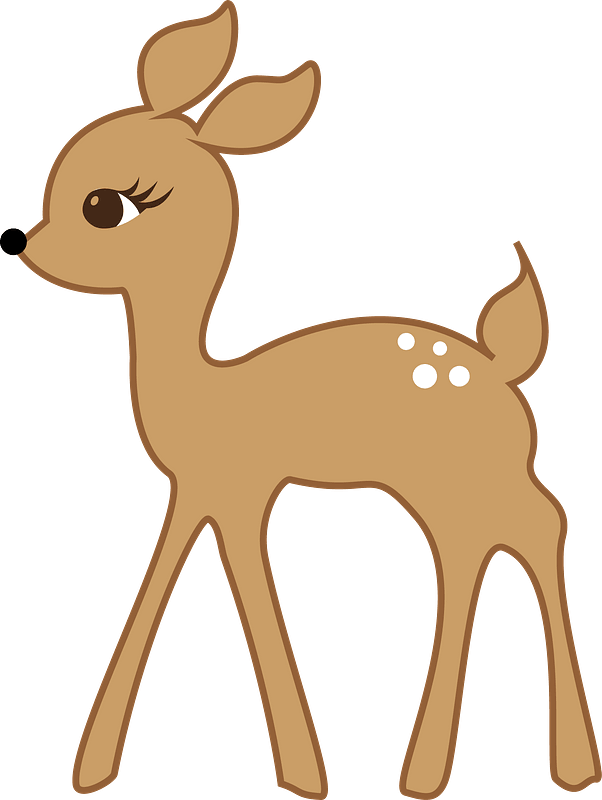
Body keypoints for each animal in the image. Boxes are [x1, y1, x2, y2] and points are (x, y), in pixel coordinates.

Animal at [1, 1, 600, 798]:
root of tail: (507, 365)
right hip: (461, 484)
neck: (202, 386)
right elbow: (161, 576)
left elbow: (248, 588)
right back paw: (490, 765)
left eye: (106, 204)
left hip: (460, 475)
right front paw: (96, 764)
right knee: (499, 539)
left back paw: (486, 766)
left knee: (520, 531)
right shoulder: (198, 489)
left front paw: (304, 769)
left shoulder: (244, 488)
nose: (17, 240)